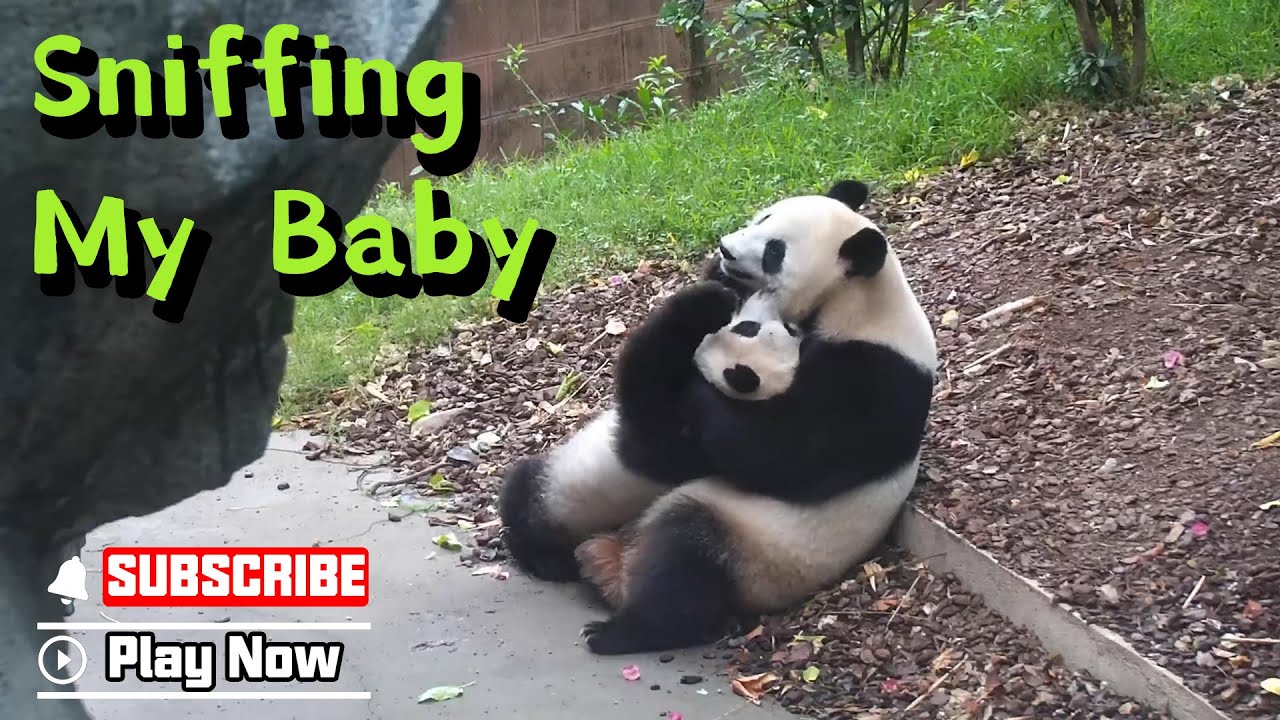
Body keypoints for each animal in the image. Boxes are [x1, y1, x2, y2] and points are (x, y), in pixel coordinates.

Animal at [568, 179, 939, 655]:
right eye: (764, 215)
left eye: (774, 251)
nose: (725, 248)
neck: (862, 301)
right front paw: (712, 288)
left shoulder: (874, 378)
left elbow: (782, 454)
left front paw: (700, 385)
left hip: (753, 551)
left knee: (684, 562)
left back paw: (620, 631)